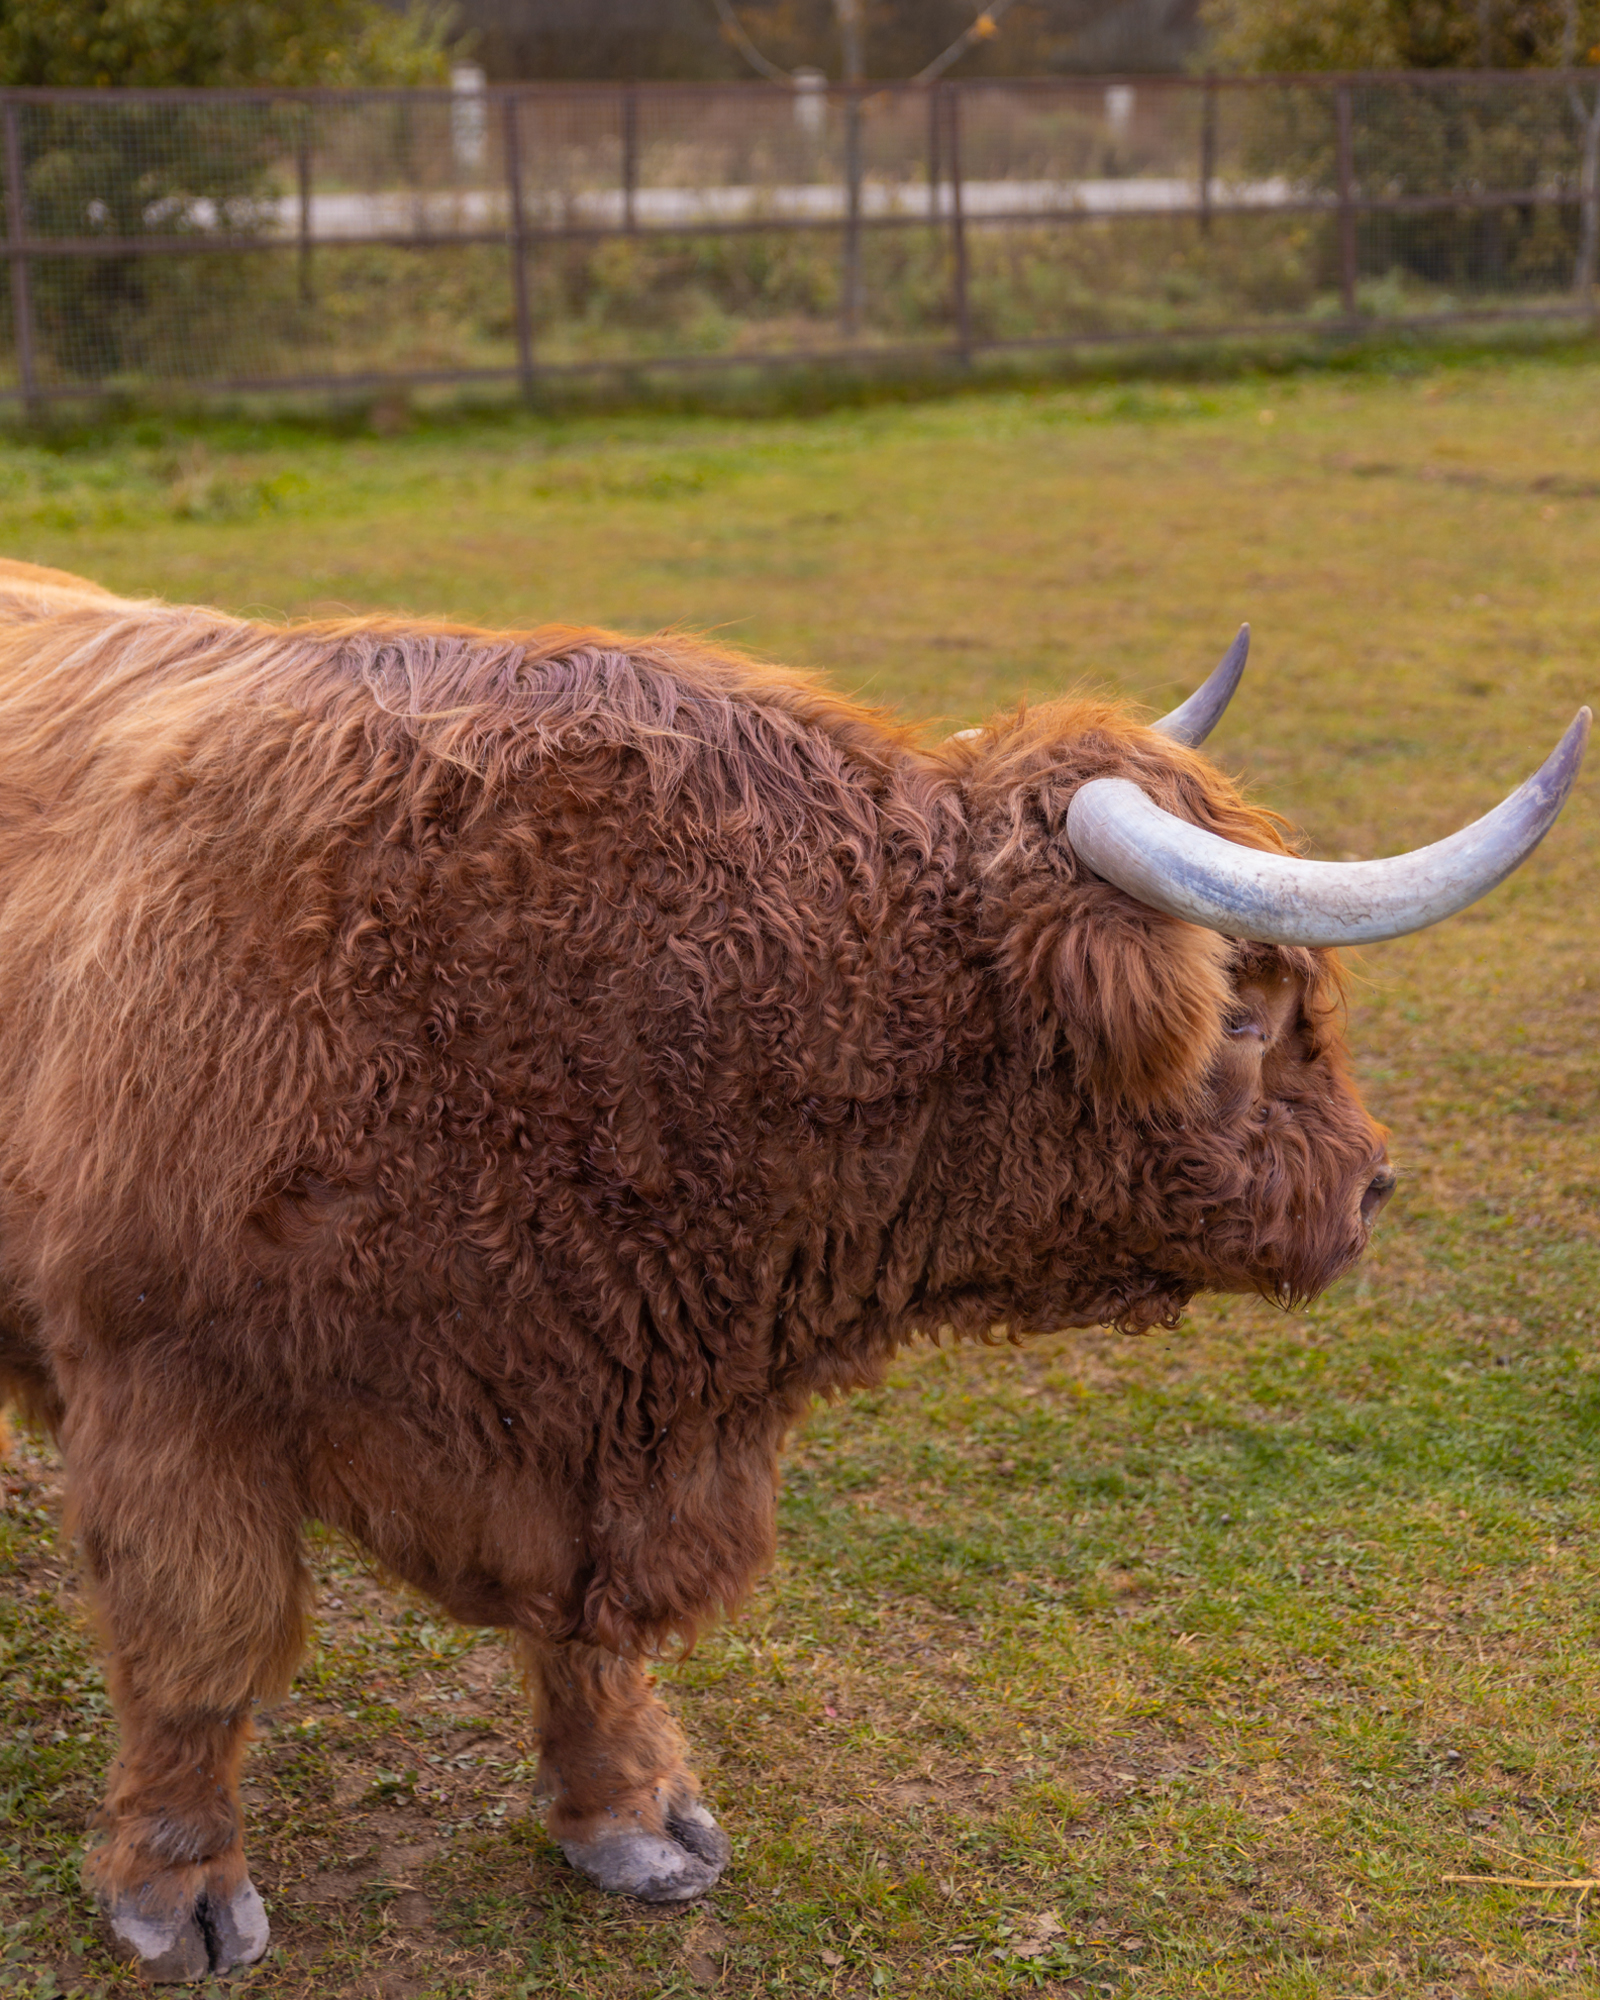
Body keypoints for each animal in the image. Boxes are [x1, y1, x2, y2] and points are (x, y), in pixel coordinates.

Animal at [0, 564, 1584, 1984]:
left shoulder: (610, 1437)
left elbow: (592, 1637)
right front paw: (179, 1894)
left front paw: (634, 1819)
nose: (1370, 1183)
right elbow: (199, 1656)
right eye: (1245, 1003)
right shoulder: (168, 1386)